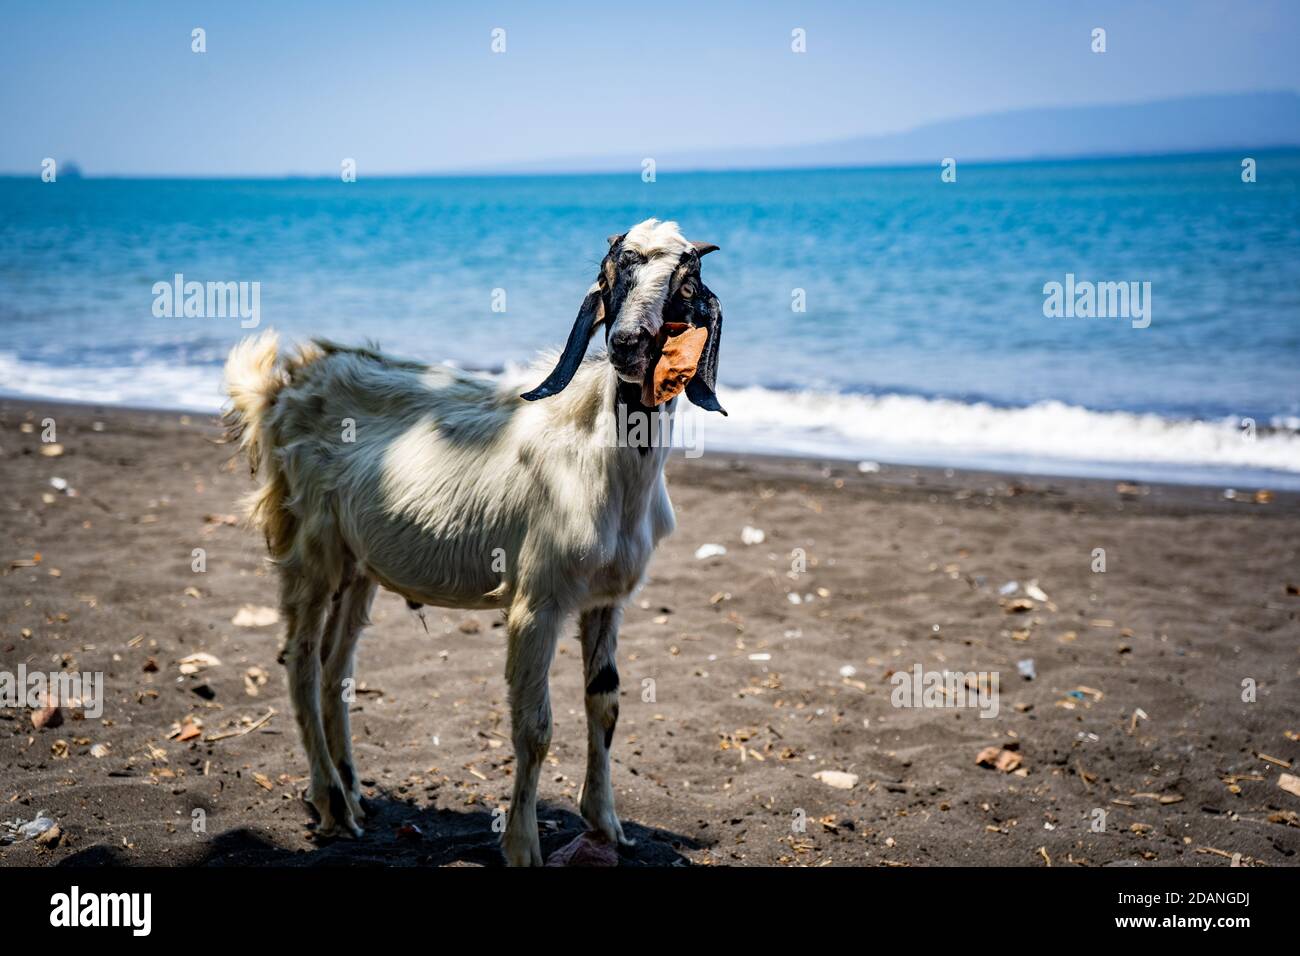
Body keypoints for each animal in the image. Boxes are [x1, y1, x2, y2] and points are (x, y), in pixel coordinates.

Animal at [222, 218, 725, 865]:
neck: (603, 456)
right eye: (611, 276)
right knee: (301, 664)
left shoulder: (606, 600)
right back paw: (332, 806)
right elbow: (534, 727)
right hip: (311, 548)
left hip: (358, 567)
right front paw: (522, 846)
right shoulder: (537, 601)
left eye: (685, 285)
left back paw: (353, 793)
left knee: (336, 667)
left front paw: (607, 824)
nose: (626, 344)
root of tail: (286, 384)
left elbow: (606, 705)